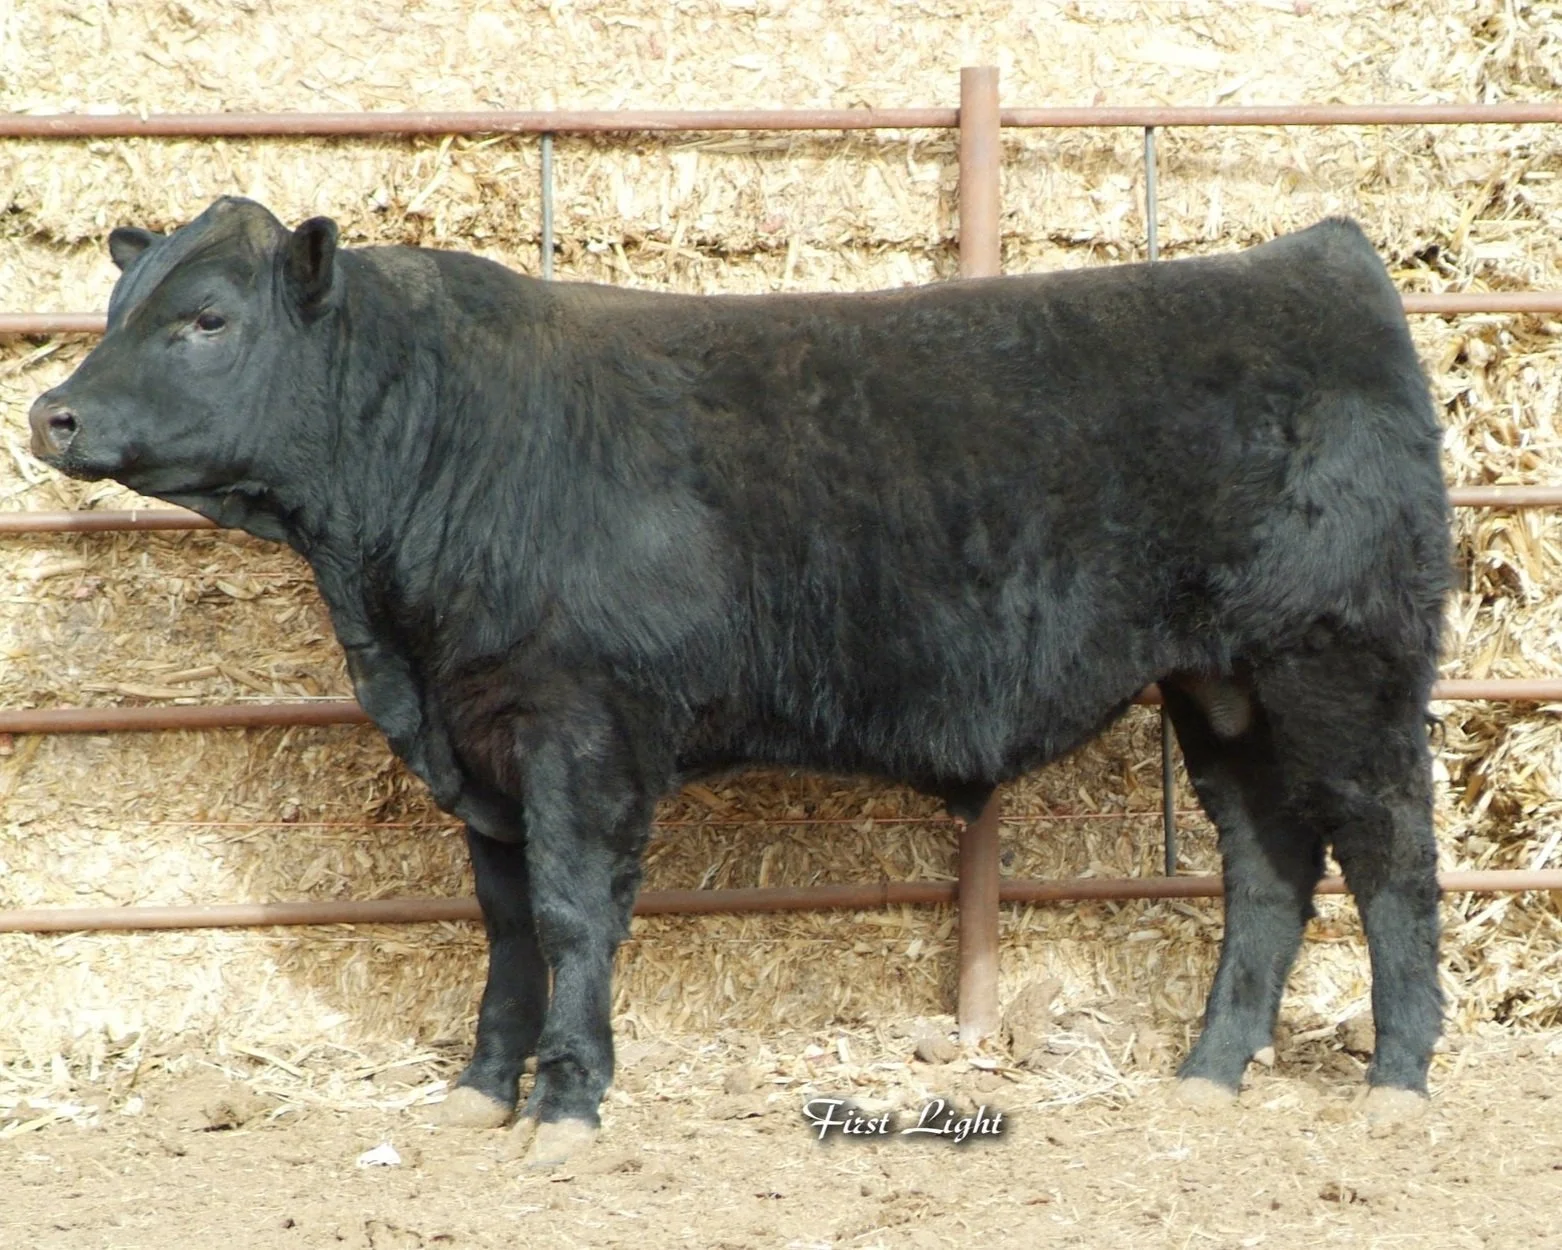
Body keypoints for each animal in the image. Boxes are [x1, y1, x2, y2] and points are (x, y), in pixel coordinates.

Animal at [30, 197, 1450, 1163]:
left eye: (208, 319)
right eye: (117, 307)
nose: (52, 414)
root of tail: (1314, 257)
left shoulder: (578, 723)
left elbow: (570, 916)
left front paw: (567, 1103)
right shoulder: (478, 736)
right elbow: (501, 922)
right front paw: (480, 1092)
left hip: (1343, 663)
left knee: (1388, 851)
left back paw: (1397, 1075)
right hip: (1222, 685)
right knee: (1267, 863)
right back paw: (1208, 1070)